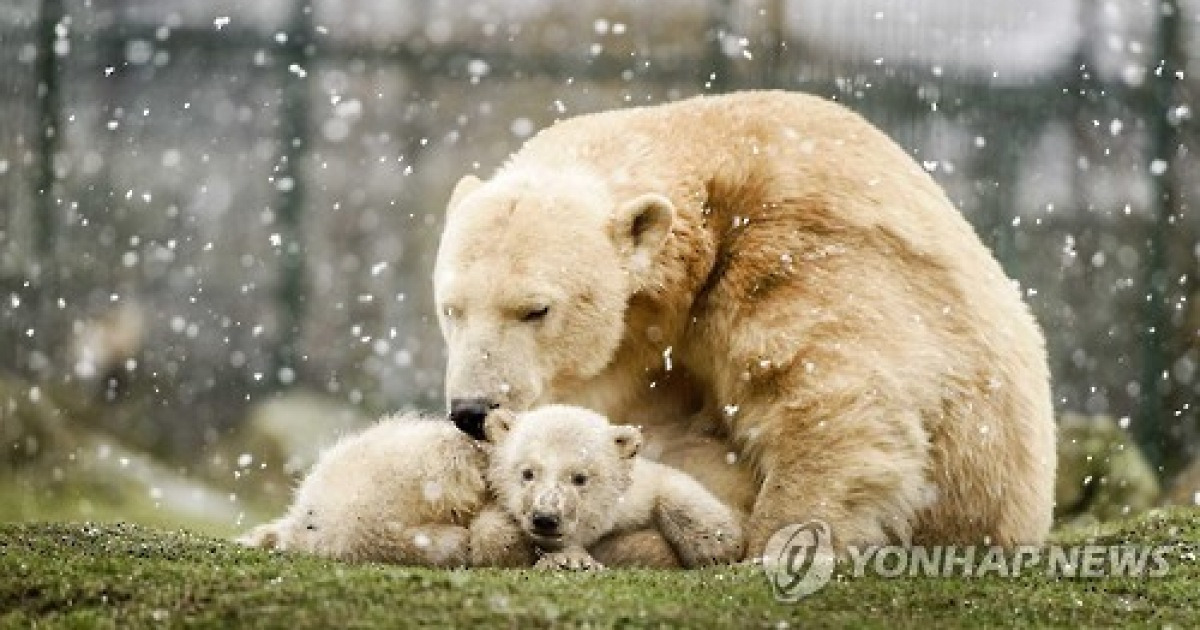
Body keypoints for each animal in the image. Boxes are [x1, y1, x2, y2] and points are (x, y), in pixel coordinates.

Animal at [483, 405, 745, 570]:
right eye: (527, 473)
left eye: (580, 478)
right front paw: (567, 560)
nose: (545, 519)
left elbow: (667, 483)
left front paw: (716, 547)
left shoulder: (632, 496)